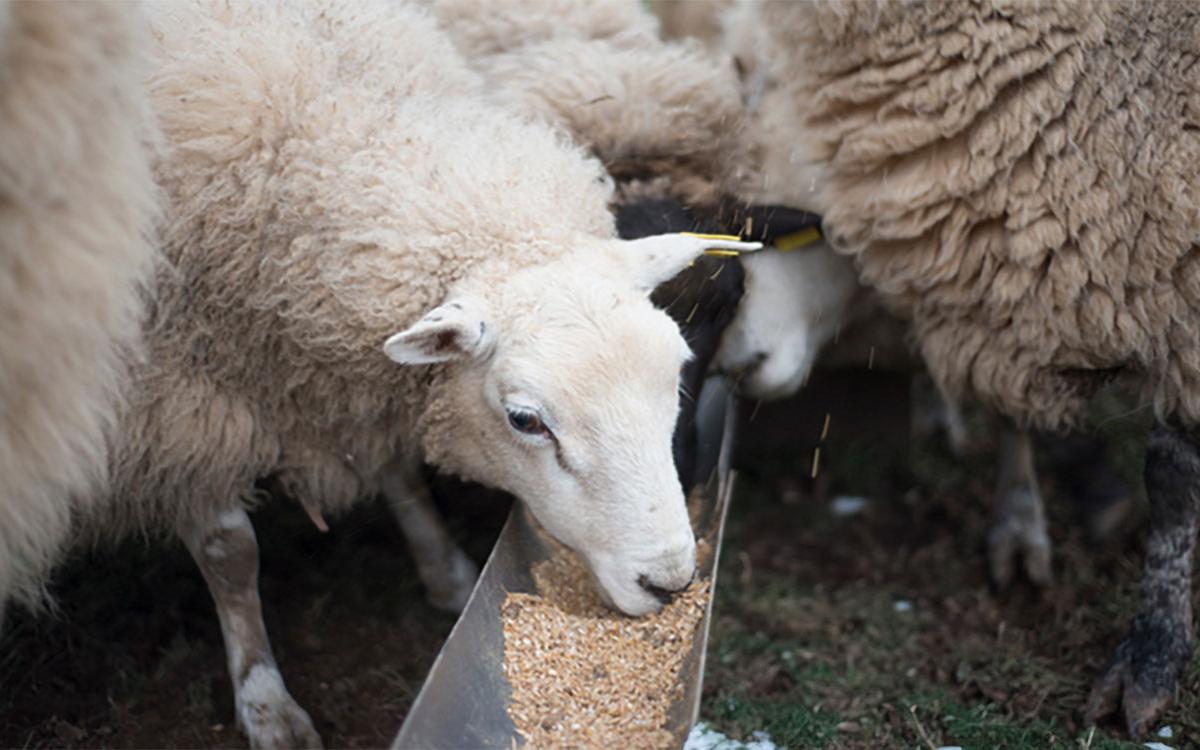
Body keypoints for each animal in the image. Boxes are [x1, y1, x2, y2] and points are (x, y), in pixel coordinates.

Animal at [80, 1, 759, 746]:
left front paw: (449, 573)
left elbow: (398, 472)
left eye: (677, 374)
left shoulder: (363, 389)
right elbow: (230, 553)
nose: (670, 583)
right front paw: (267, 704)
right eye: (526, 420)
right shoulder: (177, 408)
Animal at [748, 0, 1200, 737]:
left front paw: (1152, 659)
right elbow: (1018, 411)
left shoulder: (1183, 307)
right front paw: (1020, 529)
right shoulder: (996, 258)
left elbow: (1171, 481)